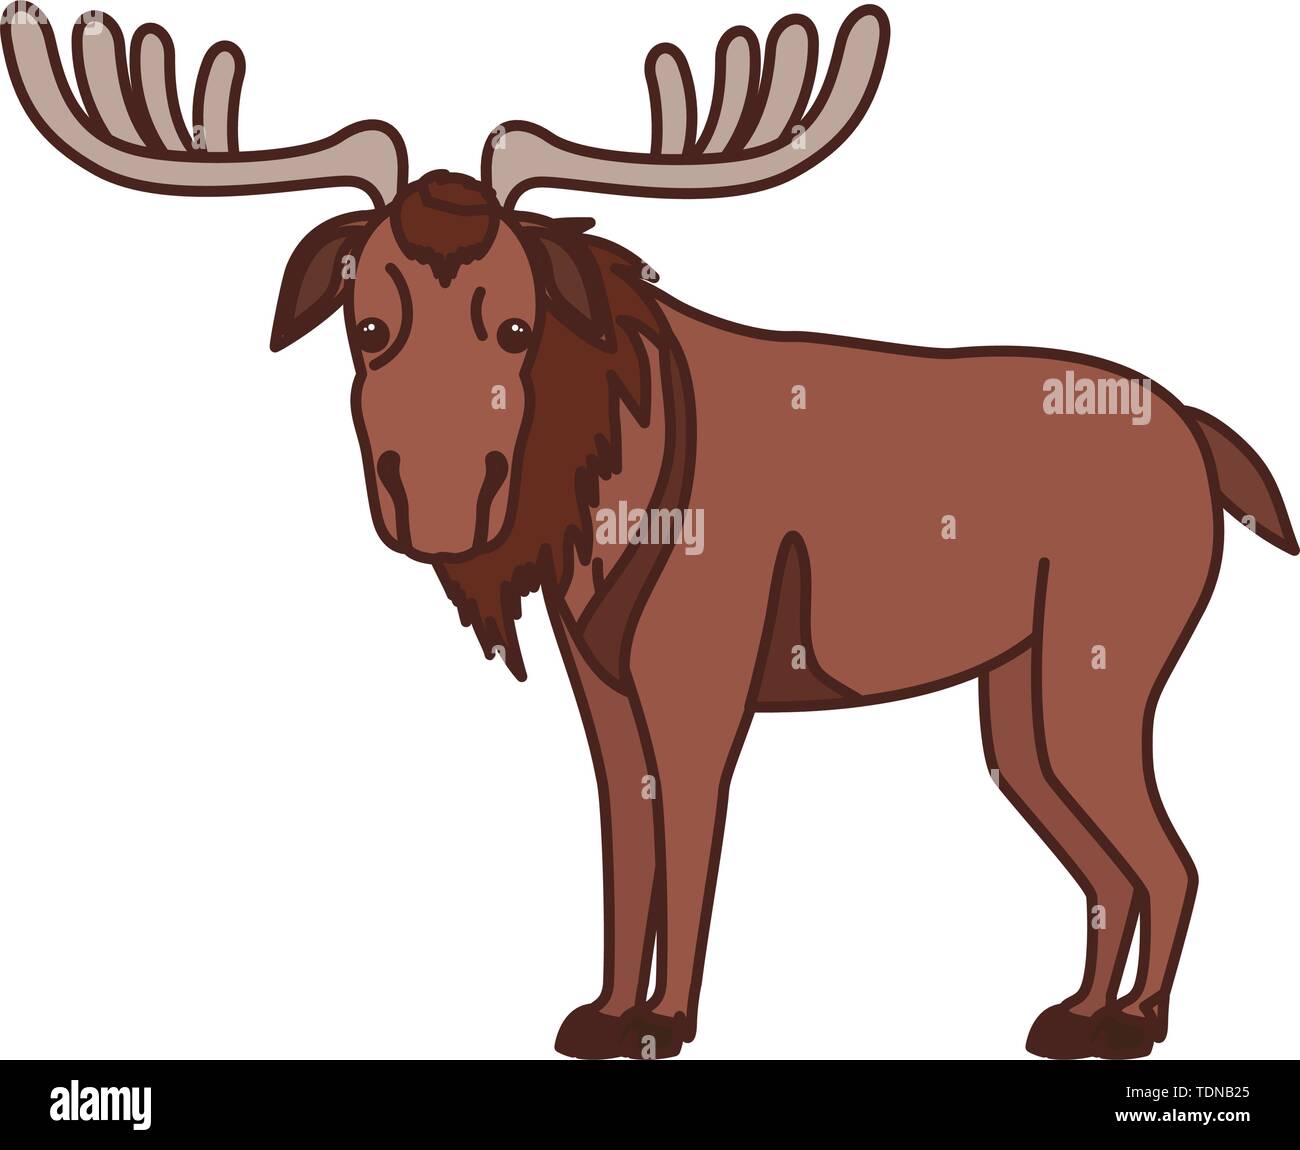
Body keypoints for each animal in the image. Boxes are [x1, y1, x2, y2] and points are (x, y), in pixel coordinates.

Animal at [4, 3, 1294, 1060]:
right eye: (367, 326)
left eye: (516, 323)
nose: (436, 496)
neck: (595, 500)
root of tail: (1205, 438)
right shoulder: (603, 686)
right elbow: (624, 849)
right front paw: (603, 1010)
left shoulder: (703, 682)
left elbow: (691, 851)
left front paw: (667, 1022)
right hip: (1016, 696)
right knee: (1108, 863)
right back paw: (1072, 1015)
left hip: (1100, 663)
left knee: (1168, 856)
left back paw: (1132, 1024)